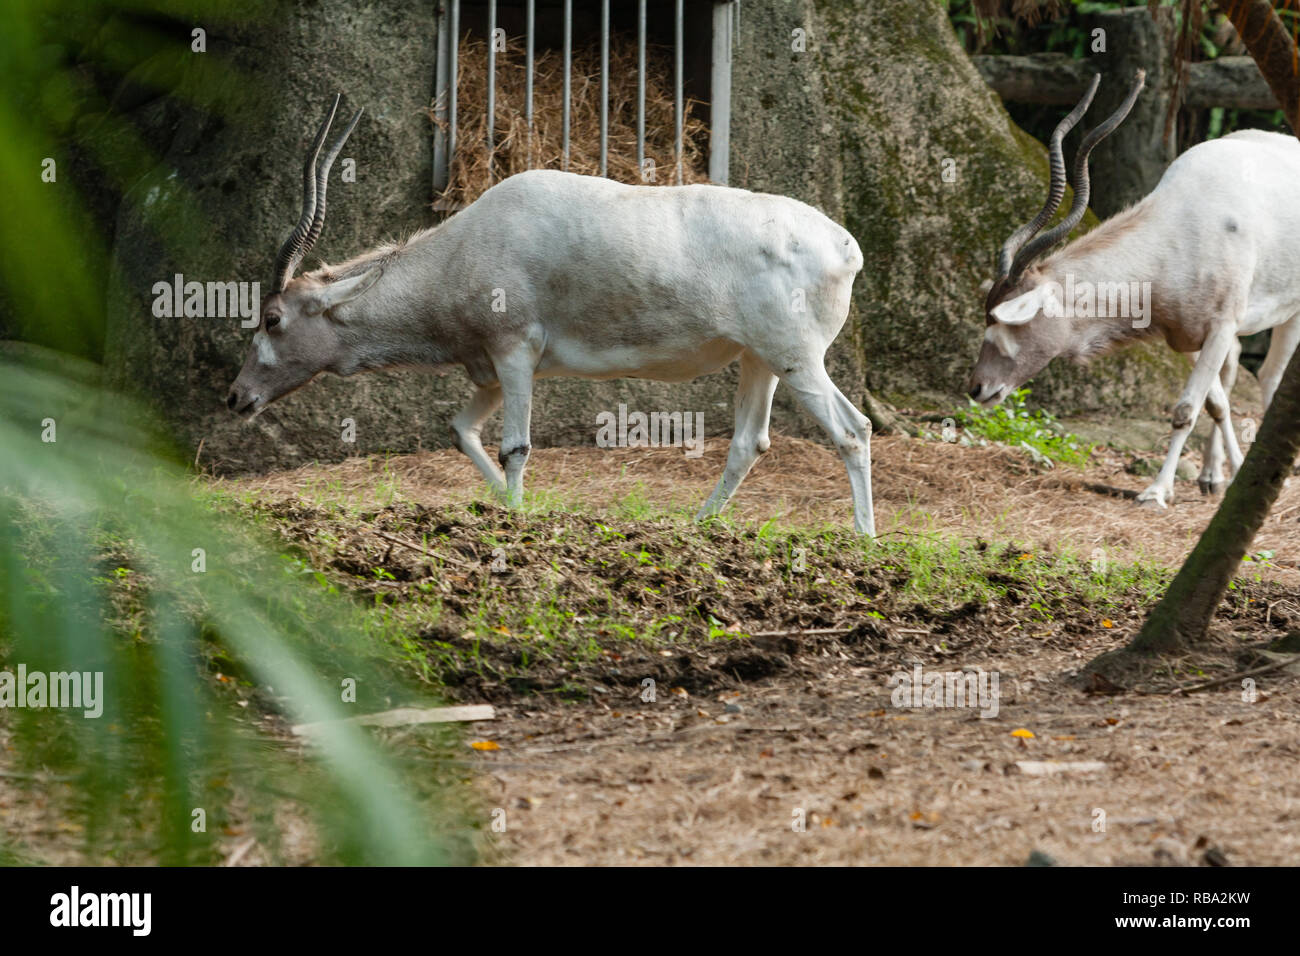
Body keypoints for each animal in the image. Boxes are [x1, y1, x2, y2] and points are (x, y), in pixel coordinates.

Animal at [227, 96, 875, 533]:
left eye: (273, 319)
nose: (236, 397)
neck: (463, 247)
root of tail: (846, 247)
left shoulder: (514, 349)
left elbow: (515, 446)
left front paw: (513, 514)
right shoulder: (493, 369)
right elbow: (461, 430)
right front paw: (509, 503)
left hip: (795, 358)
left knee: (852, 429)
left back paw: (863, 539)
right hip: (760, 360)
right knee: (750, 442)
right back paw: (698, 525)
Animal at [969, 70, 1300, 508]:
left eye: (1010, 322)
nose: (977, 388)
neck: (1178, 232)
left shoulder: (1221, 326)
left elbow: (1186, 409)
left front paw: (1157, 491)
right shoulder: (1189, 335)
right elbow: (1215, 403)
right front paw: (1223, 473)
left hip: (1290, 312)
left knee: (1271, 377)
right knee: (1233, 379)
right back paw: (1214, 474)